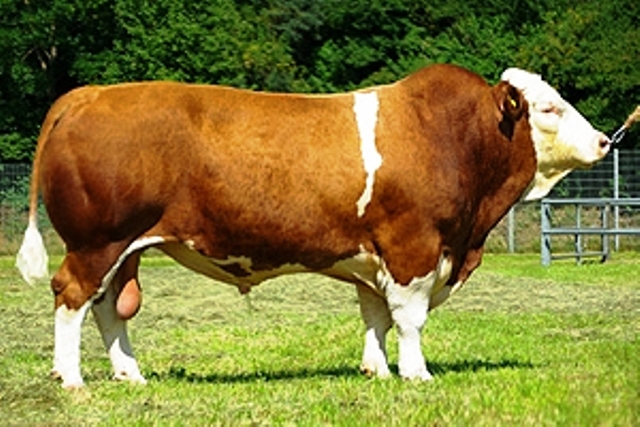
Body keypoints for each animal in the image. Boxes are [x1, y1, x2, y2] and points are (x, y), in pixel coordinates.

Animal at [16, 64, 610, 388]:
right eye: (550, 109)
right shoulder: (414, 246)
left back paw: (129, 373)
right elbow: (409, 318)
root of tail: (92, 93)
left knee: (109, 307)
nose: (606, 140)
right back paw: (72, 378)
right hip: (97, 241)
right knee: (72, 296)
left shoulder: (374, 255)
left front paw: (377, 370)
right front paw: (416, 373)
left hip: (124, 248)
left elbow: (376, 315)